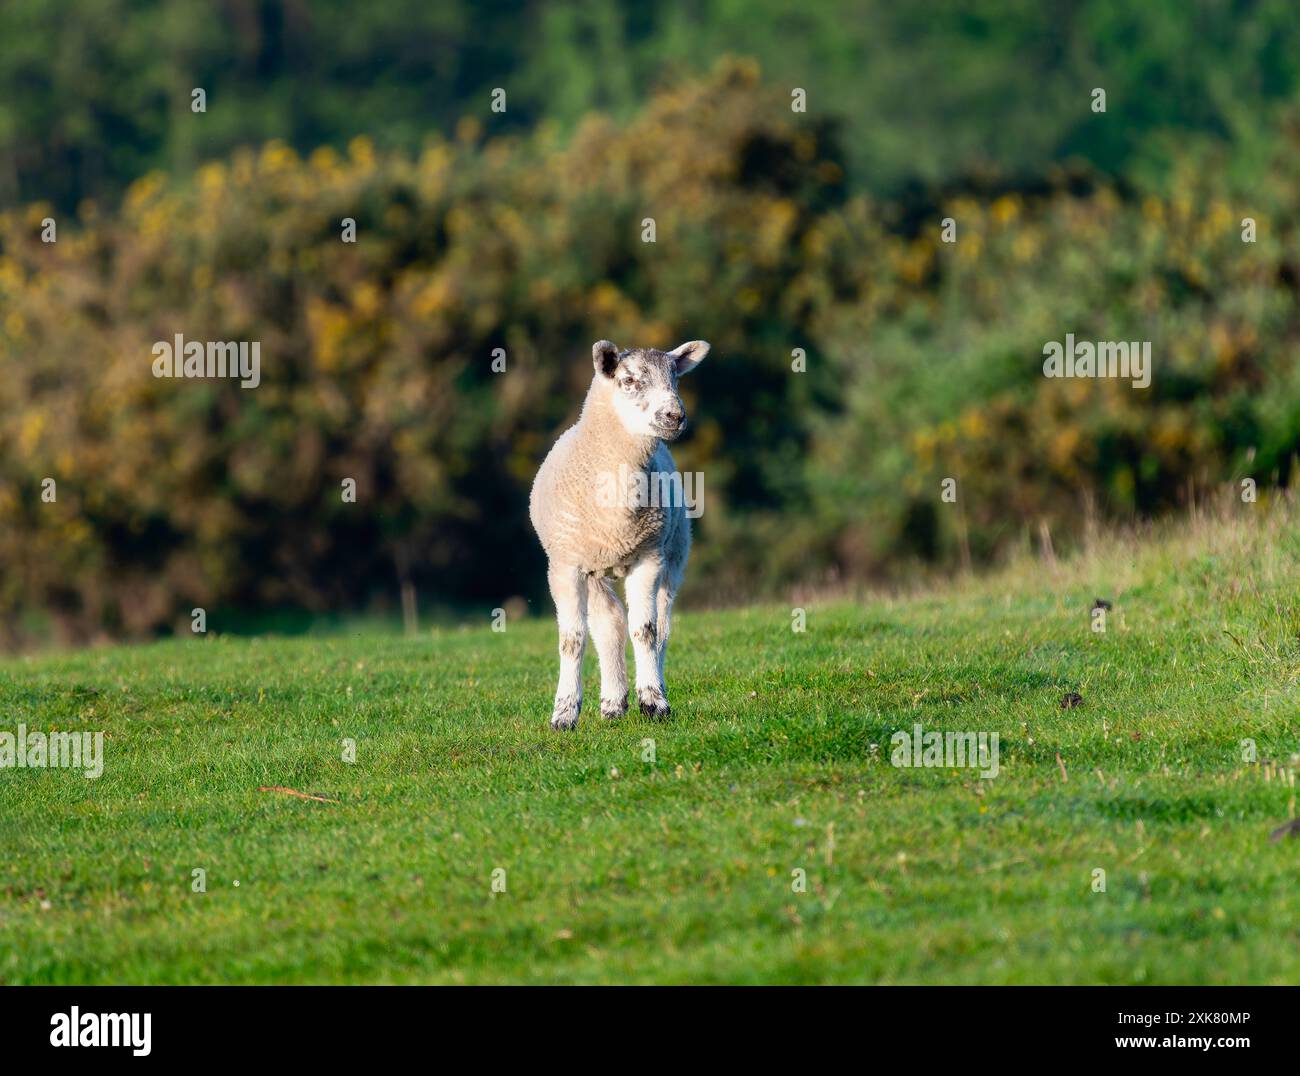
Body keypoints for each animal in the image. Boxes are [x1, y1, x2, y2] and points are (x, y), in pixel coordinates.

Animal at [529, 339, 710, 730]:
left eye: (675, 377)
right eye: (628, 380)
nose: (675, 416)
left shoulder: (649, 557)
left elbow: (645, 630)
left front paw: (654, 704)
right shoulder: (564, 565)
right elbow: (572, 639)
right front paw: (564, 714)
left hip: (674, 553)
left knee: (661, 626)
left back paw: (635, 694)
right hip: (594, 567)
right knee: (608, 625)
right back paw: (612, 703)